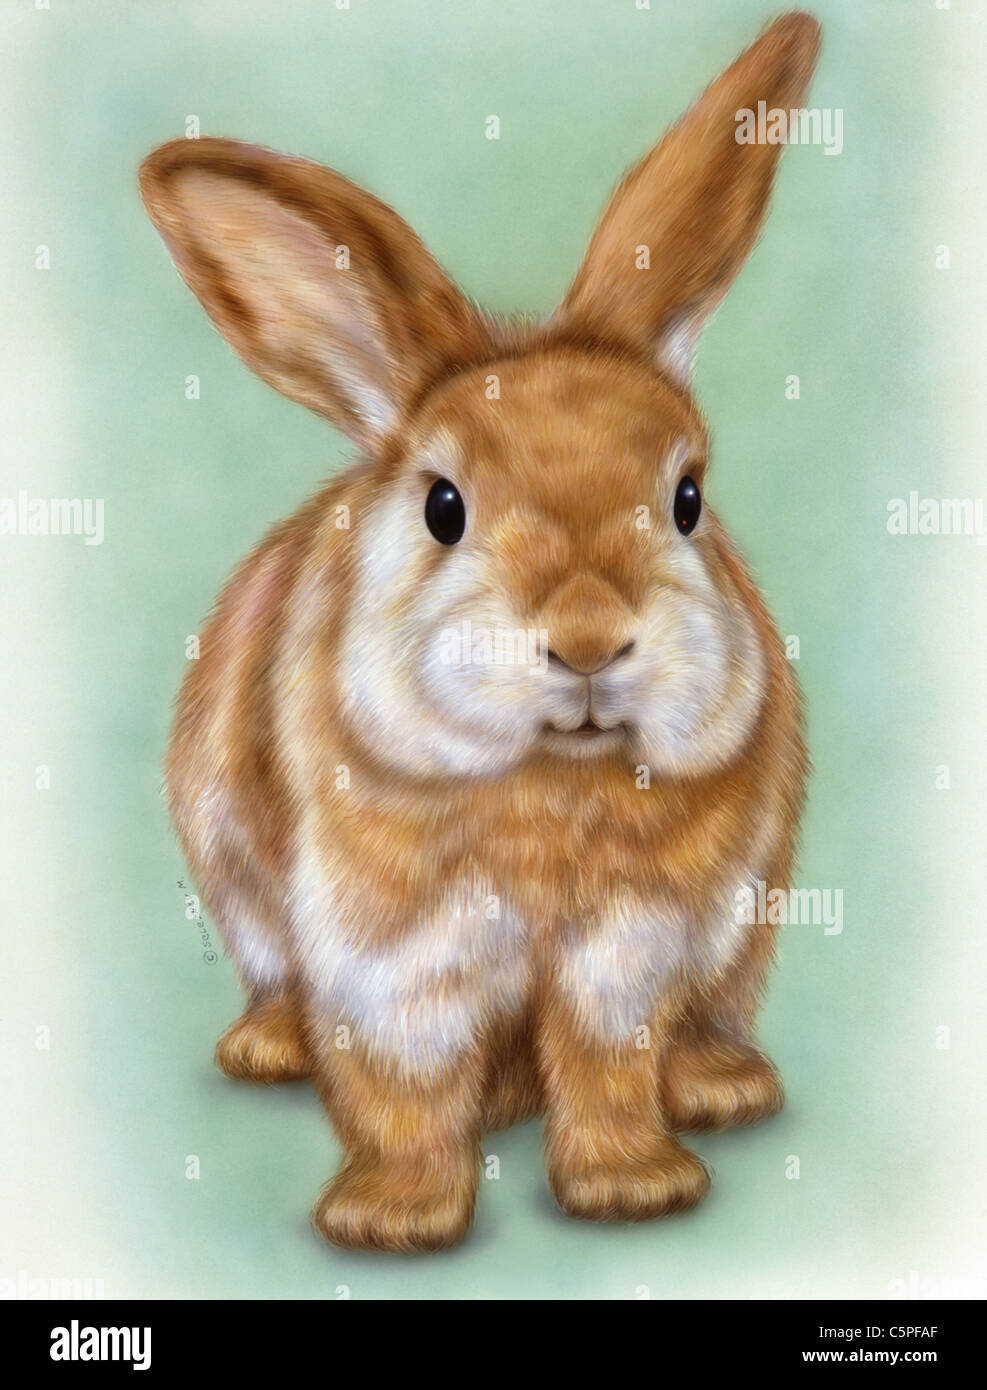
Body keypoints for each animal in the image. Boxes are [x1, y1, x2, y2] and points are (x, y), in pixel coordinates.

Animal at [141, 11, 818, 1252]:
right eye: (444, 507)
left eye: (687, 498)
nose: (590, 639)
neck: (551, 781)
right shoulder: (390, 959)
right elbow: (402, 1084)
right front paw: (391, 1220)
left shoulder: (631, 946)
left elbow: (607, 1060)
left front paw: (633, 1188)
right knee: (277, 985)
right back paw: (267, 1047)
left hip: (747, 925)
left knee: (707, 1016)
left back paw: (726, 1086)